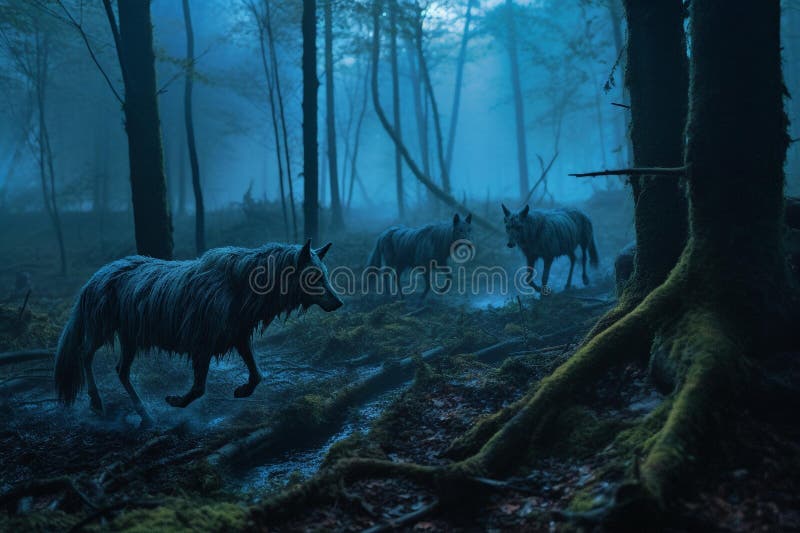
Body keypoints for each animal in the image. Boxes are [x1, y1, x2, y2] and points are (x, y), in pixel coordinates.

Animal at [54, 240, 342, 425]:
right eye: (314, 277)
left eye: (326, 275)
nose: (339, 302)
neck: (241, 288)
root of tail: (94, 277)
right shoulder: (201, 344)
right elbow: (199, 389)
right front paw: (175, 401)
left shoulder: (237, 337)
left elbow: (257, 374)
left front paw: (242, 391)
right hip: (103, 331)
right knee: (84, 353)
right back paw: (96, 402)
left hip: (130, 338)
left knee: (120, 371)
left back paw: (146, 416)